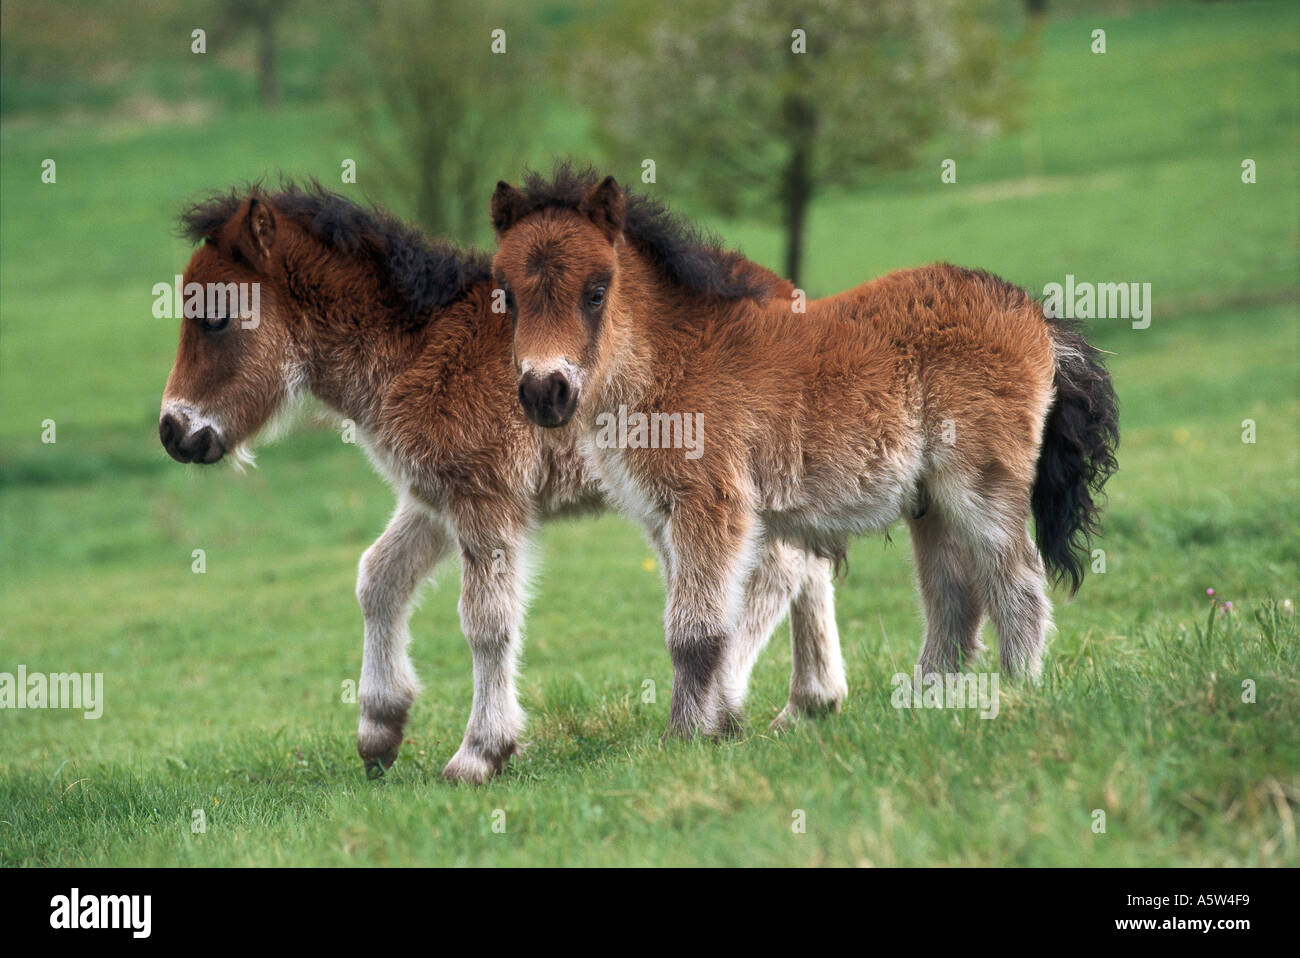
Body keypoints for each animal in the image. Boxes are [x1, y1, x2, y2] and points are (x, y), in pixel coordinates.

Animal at [158, 180, 846, 783]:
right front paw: (380, 732)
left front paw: (480, 753)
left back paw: (736, 705)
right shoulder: (433, 500)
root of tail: (787, 296)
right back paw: (810, 702)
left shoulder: (484, 499)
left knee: (779, 570)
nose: (172, 430)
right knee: (807, 563)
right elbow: (378, 578)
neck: (417, 348)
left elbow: (486, 622)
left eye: (215, 319)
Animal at [490, 166, 1120, 738]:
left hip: (981, 482)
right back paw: (925, 706)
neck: (669, 361)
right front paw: (718, 726)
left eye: (596, 292)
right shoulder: (663, 519)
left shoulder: (712, 505)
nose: (544, 392)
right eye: (508, 297)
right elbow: (704, 623)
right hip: (932, 502)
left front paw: (686, 738)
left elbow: (696, 633)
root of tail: (1033, 313)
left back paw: (1018, 693)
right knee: (955, 600)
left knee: (1017, 578)